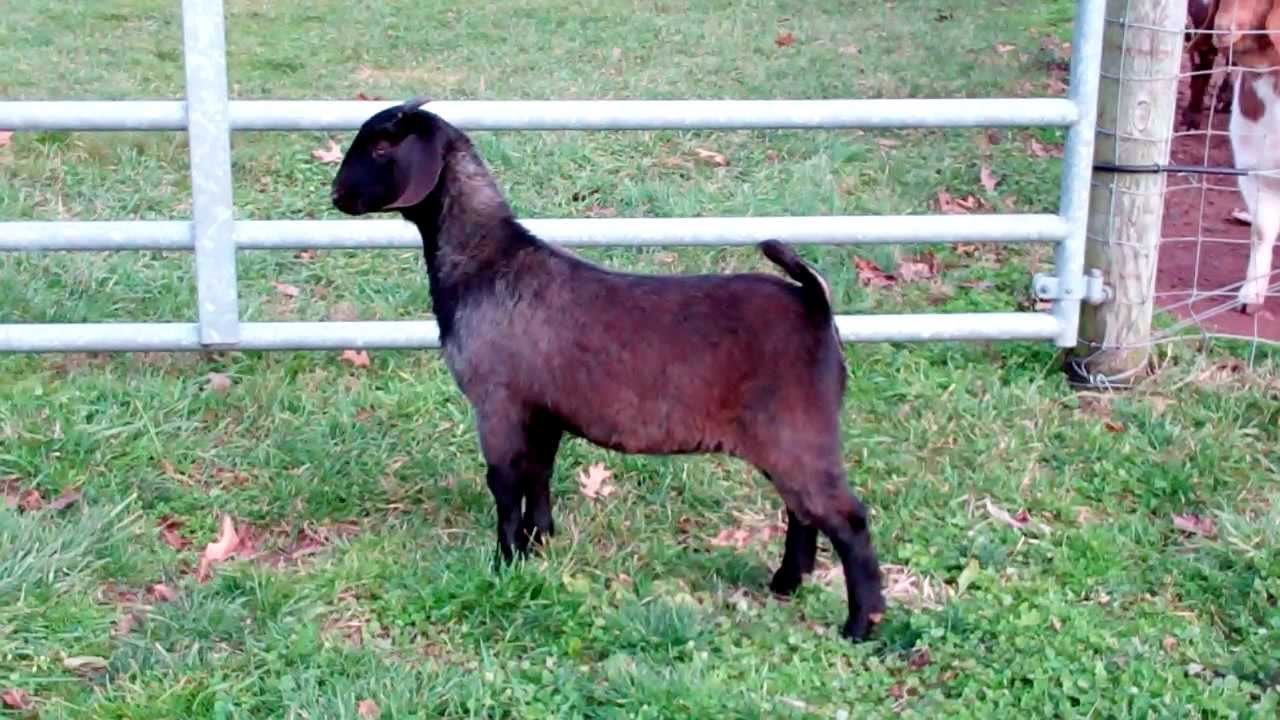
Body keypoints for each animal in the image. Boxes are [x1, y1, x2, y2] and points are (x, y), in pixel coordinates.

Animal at [329, 98, 886, 642]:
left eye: (381, 147)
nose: (336, 194)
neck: (487, 262)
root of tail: (814, 304)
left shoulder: (497, 403)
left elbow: (506, 482)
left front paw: (505, 560)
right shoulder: (542, 410)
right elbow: (539, 473)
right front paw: (539, 541)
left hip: (796, 432)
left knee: (847, 519)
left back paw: (860, 624)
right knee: (802, 511)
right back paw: (786, 583)